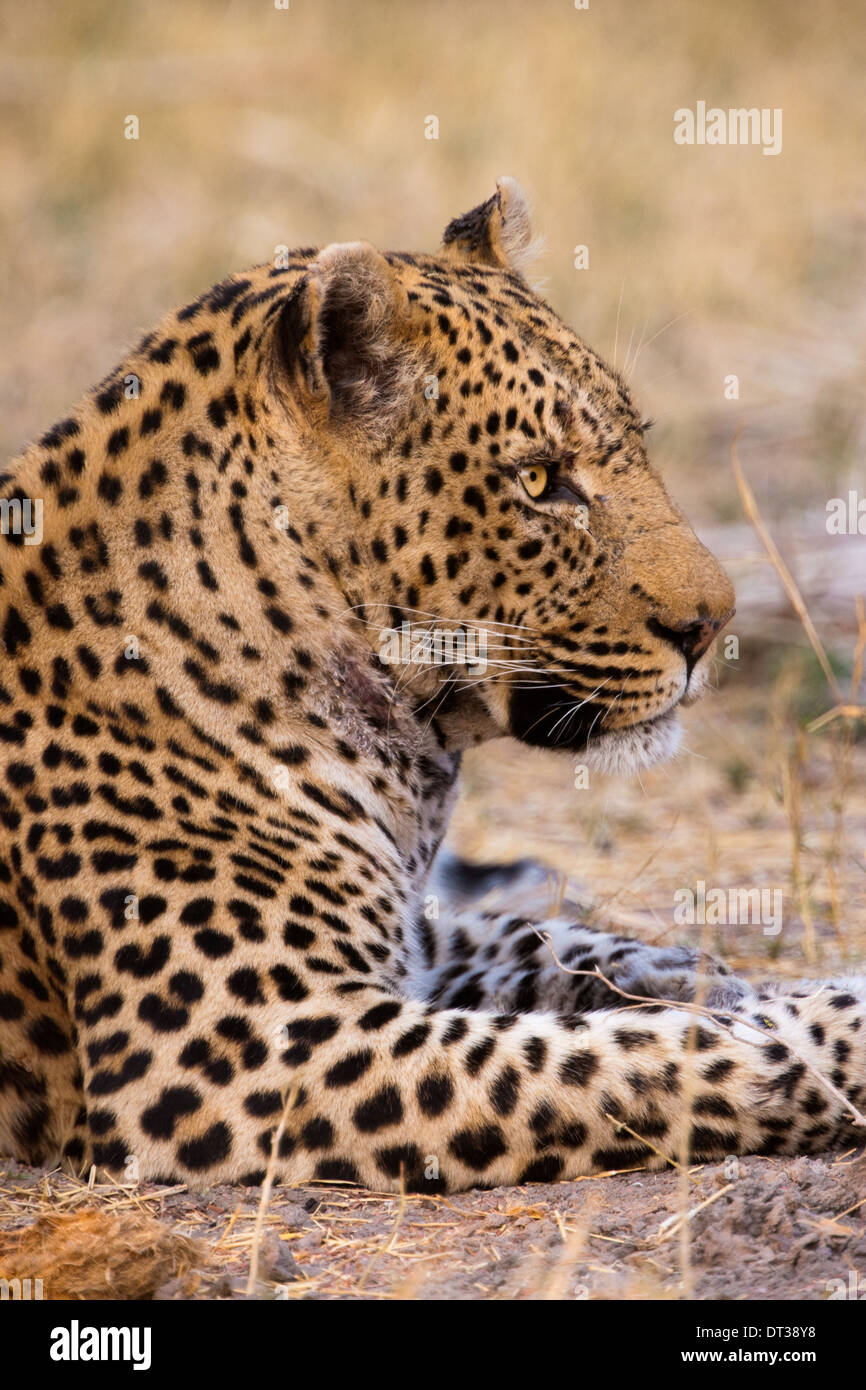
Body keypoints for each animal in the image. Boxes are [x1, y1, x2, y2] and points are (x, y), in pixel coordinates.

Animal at [1, 178, 864, 1192]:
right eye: (540, 480)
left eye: (637, 443)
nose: (712, 625)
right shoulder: (244, 1054)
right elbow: (638, 1057)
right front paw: (833, 1024)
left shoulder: (399, 942)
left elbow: (530, 939)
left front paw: (693, 972)